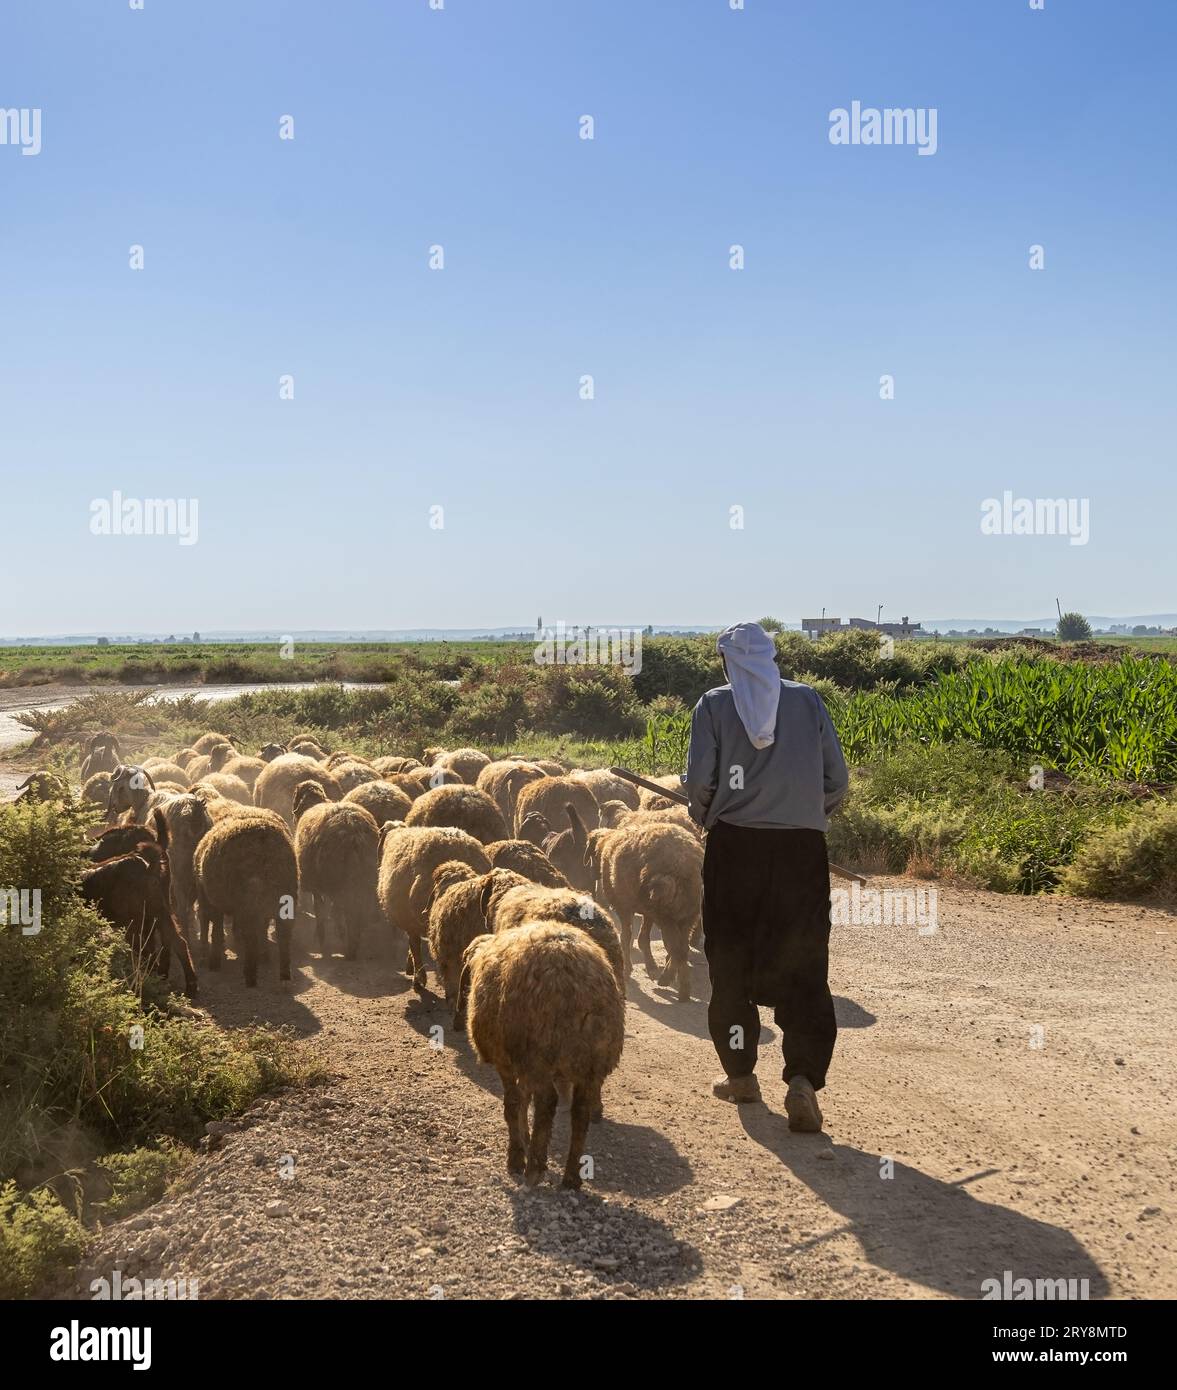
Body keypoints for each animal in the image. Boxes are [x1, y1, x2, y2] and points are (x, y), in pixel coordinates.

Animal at [81, 828, 197, 997]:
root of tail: (148, 868)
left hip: (135, 924)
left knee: (148, 952)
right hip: (161, 913)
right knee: (177, 942)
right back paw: (189, 986)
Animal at [193, 814, 298, 987]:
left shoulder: (212, 899)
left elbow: (214, 929)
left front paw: (212, 961)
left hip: (248, 900)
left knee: (251, 936)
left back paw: (249, 974)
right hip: (285, 897)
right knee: (283, 937)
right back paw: (283, 976)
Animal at [295, 801, 380, 960]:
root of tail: (354, 834)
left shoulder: (317, 887)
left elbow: (320, 911)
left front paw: (321, 939)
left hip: (338, 881)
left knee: (345, 911)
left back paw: (347, 945)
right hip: (364, 880)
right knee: (358, 911)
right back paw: (353, 943)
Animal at [462, 922, 625, 1187]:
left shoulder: (507, 1061)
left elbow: (513, 1103)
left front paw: (517, 1156)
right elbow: (523, 1099)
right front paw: (525, 1138)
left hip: (540, 1056)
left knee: (547, 1104)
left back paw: (534, 1170)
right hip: (592, 1063)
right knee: (580, 1112)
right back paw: (571, 1178)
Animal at [585, 822, 702, 1001]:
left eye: (592, 855)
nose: (591, 876)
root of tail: (683, 864)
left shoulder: (624, 906)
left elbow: (626, 937)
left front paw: (627, 969)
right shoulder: (646, 911)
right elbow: (643, 938)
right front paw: (651, 966)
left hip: (667, 914)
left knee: (677, 949)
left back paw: (672, 983)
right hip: (689, 913)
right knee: (682, 948)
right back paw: (678, 983)